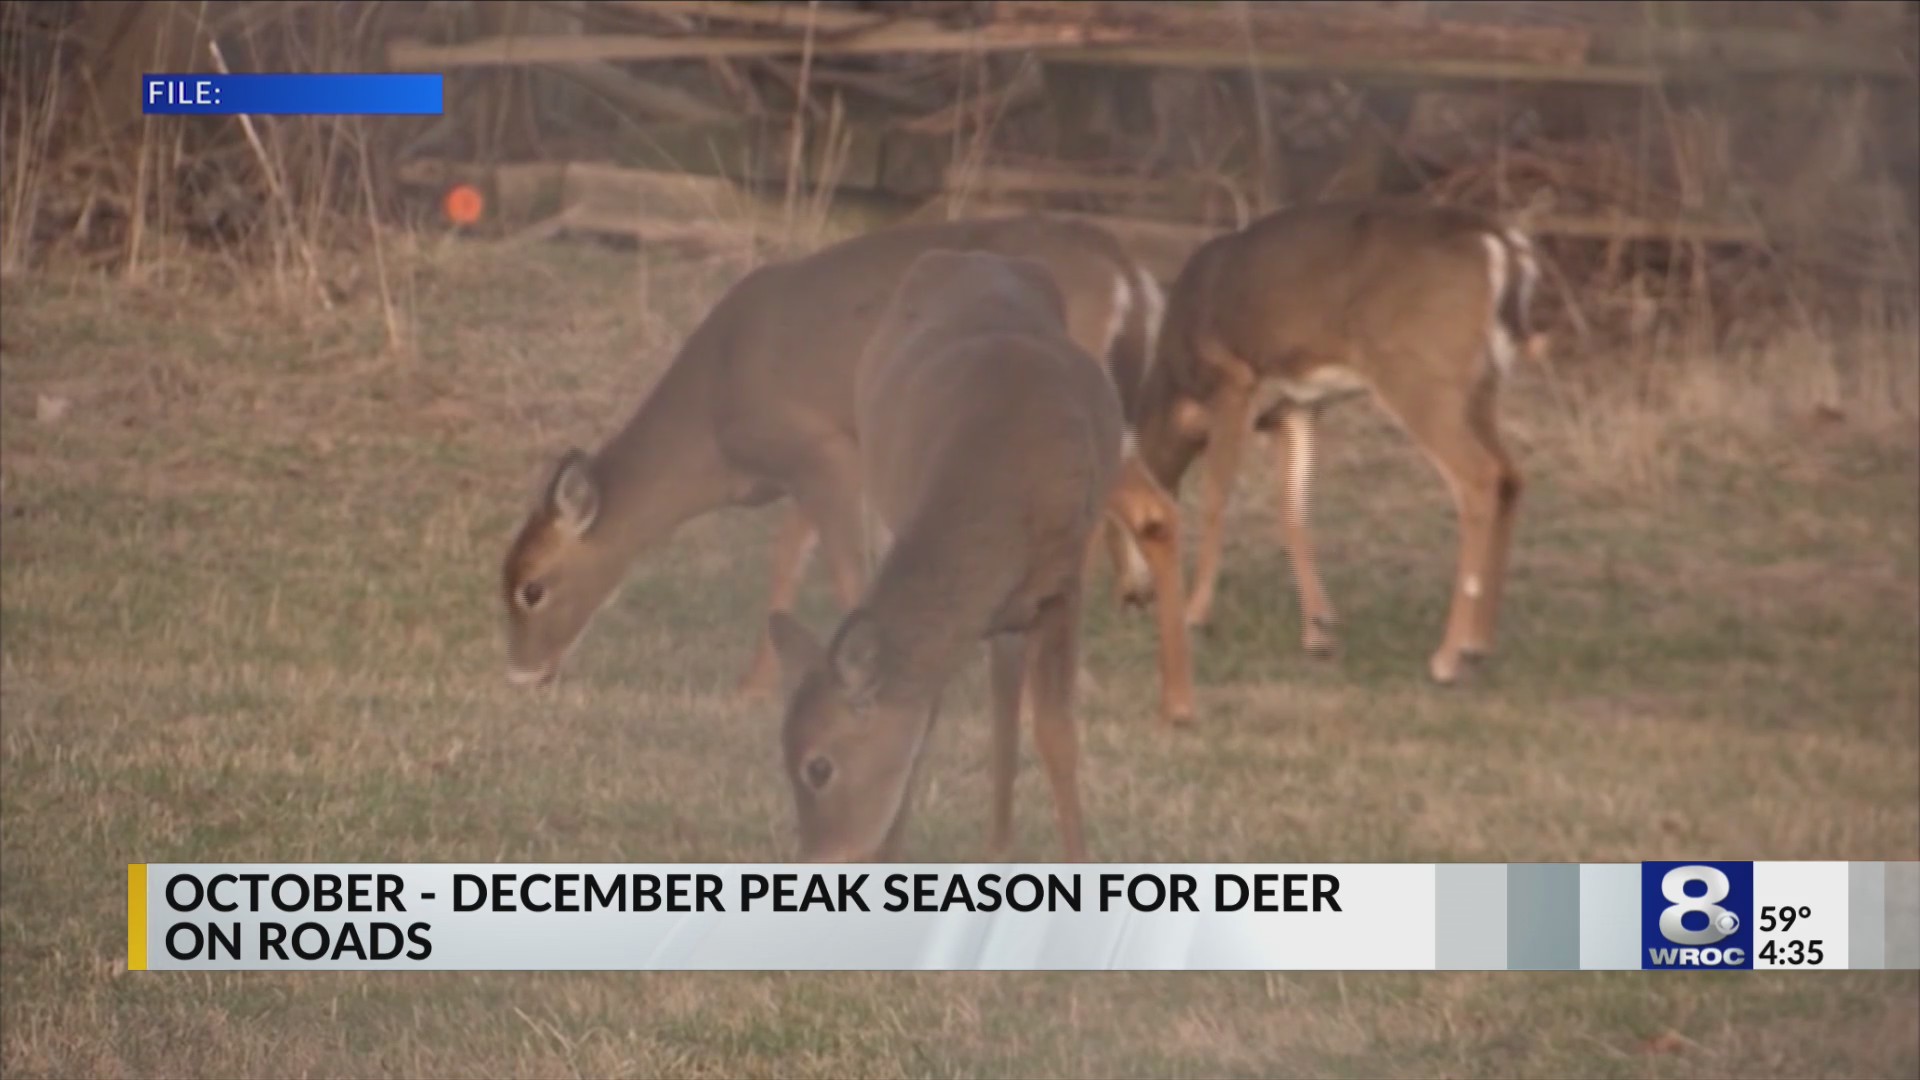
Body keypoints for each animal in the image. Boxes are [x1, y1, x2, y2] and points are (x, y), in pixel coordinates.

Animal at [500, 215, 1197, 727]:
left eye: (532, 587)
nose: (522, 674)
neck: (714, 427)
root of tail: (1129, 277)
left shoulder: (822, 449)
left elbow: (847, 570)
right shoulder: (817, 460)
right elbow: (788, 560)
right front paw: (753, 688)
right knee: (1157, 512)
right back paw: (1173, 703)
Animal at [764, 249, 1125, 863]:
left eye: (818, 767)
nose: (812, 858)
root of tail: (968, 255)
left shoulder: (1064, 582)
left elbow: (1057, 734)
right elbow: (920, 734)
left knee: (1007, 693)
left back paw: (1000, 845)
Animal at [1130, 198, 1541, 686]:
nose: (1131, 598)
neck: (1177, 385)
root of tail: (1504, 248)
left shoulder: (1232, 379)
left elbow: (1215, 496)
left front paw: (1195, 614)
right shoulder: (1297, 406)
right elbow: (1293, 509)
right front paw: (1319, 630)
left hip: (1419, 373)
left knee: (1479, 477)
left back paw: (1447, 658)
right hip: (1482, 386)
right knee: (1511, 476)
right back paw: (1479, 644)